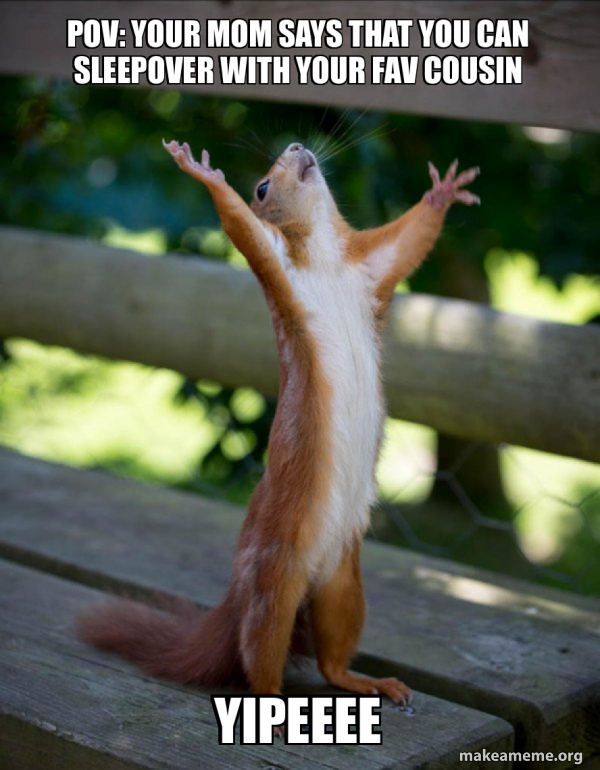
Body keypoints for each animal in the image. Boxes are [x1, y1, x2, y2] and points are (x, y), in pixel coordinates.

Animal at [78, 139, 479, 708]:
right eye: (262, 187)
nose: (296, 146)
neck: (327, 258)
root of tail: (238, 595)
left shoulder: (372, 267)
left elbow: (410, 240)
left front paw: (442, 192)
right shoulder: (277, 264)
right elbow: (240, 225)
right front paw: (203, 173)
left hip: (344, 585)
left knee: (332, 659)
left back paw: (367, 681)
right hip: (274, 583)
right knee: (259, 659)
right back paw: (277, 703)